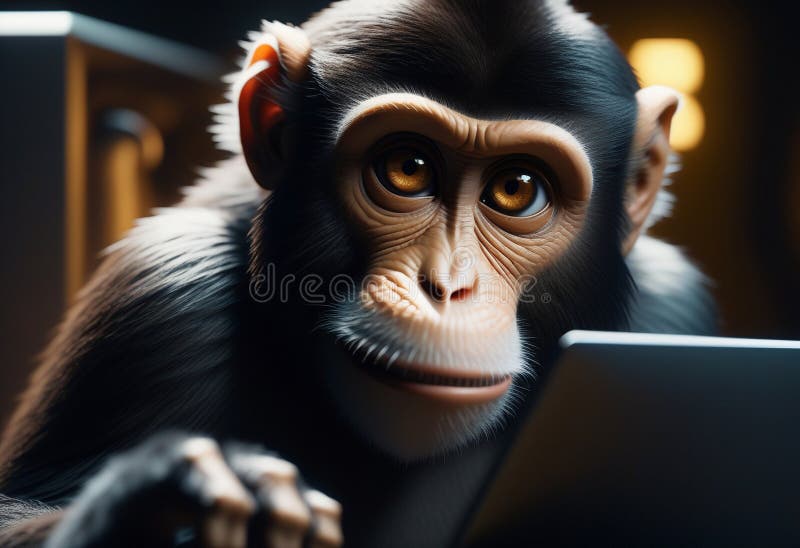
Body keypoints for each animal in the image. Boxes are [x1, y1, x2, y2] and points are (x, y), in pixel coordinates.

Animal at [0, 0, 717, 546]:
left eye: (517, 189)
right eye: (407, 168)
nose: (447, 286)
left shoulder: (674, 310)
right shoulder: (164, 288)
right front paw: (164, 496)